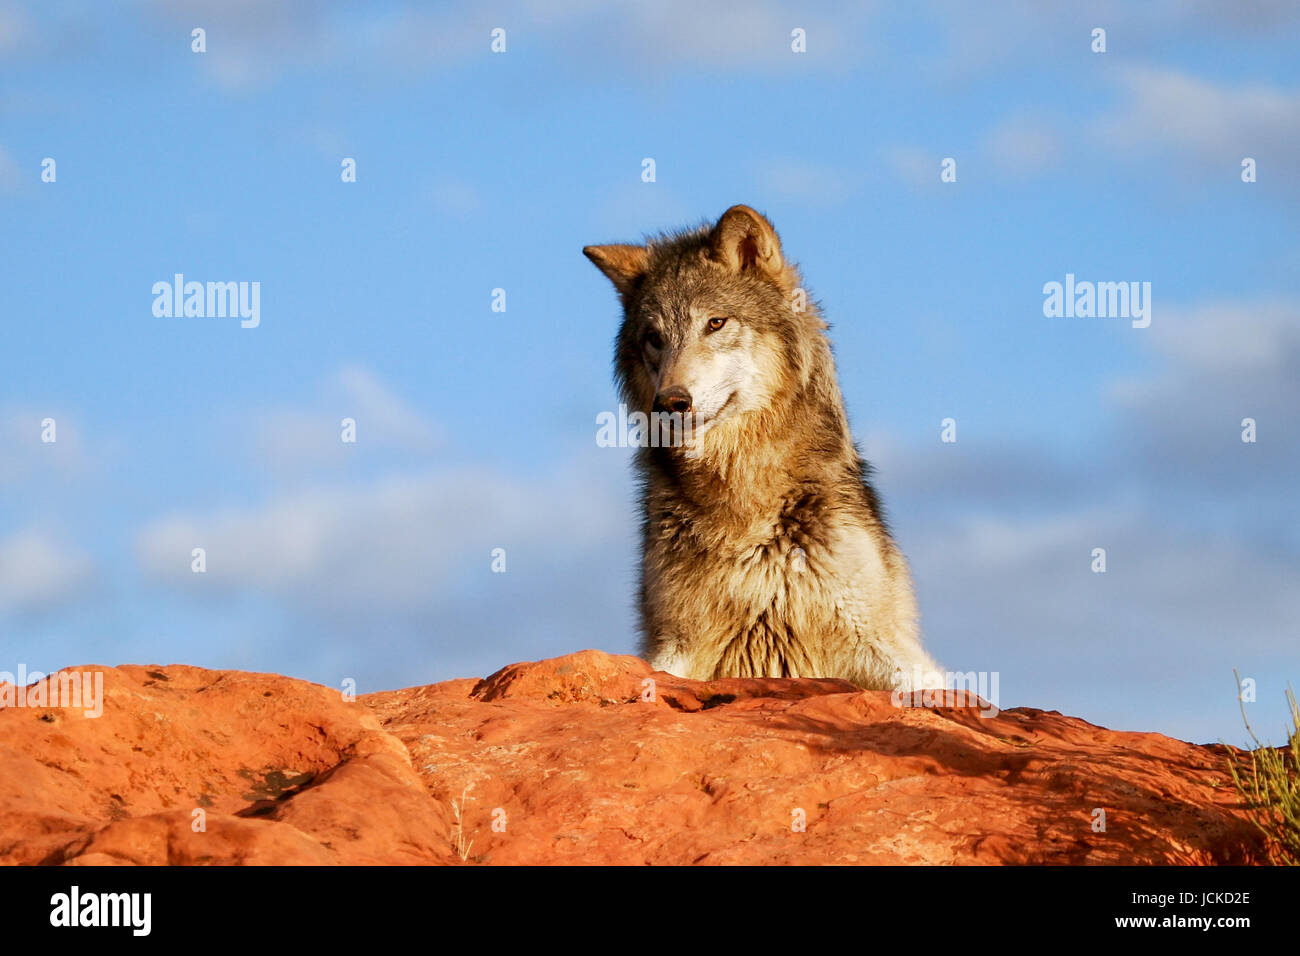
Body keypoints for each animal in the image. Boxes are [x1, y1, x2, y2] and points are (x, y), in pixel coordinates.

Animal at [584, 205, 942, 691]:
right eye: (654, 338)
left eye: (715, 323)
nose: (670, 402)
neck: (743, 499)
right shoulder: (677, 643)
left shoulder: (875, 640)